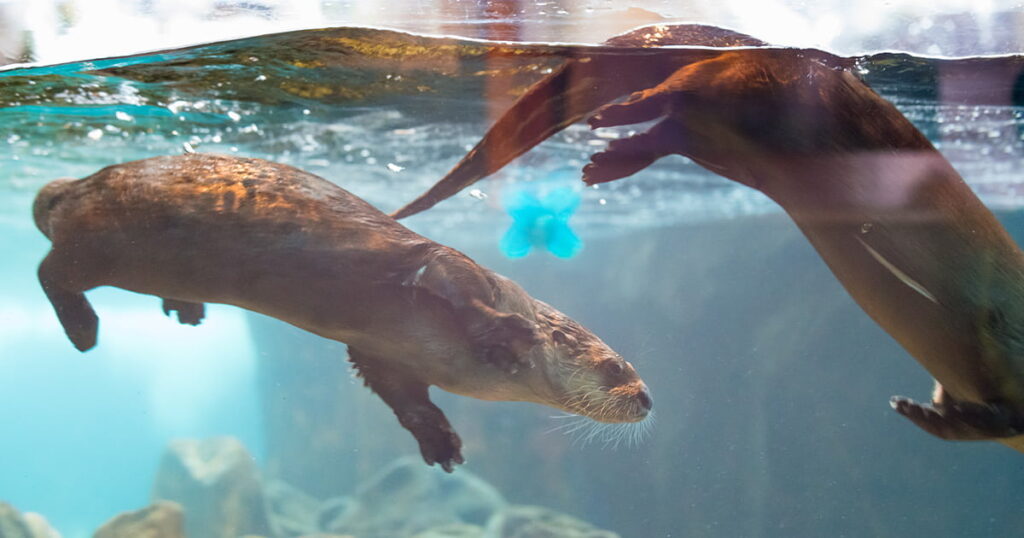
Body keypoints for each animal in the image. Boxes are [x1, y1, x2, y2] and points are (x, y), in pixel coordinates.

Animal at [33, 153, 652, 471]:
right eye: (617, 368)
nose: (648, 400)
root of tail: (71, 186)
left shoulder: (385, 355)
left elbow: (403, 397)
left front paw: (441, 443)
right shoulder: (452, 268)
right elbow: (457, 288)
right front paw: (509, 335)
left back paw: (185, 307)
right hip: (100, 247)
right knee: (49, 271)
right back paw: (83, 329)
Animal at [391, 26, 1024, 453]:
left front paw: (921, 408)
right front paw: (922, 410)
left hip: (730, 136)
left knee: (676, 127)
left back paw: (607, 160)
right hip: (752, 88)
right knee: (677, 90)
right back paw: (614, 120)